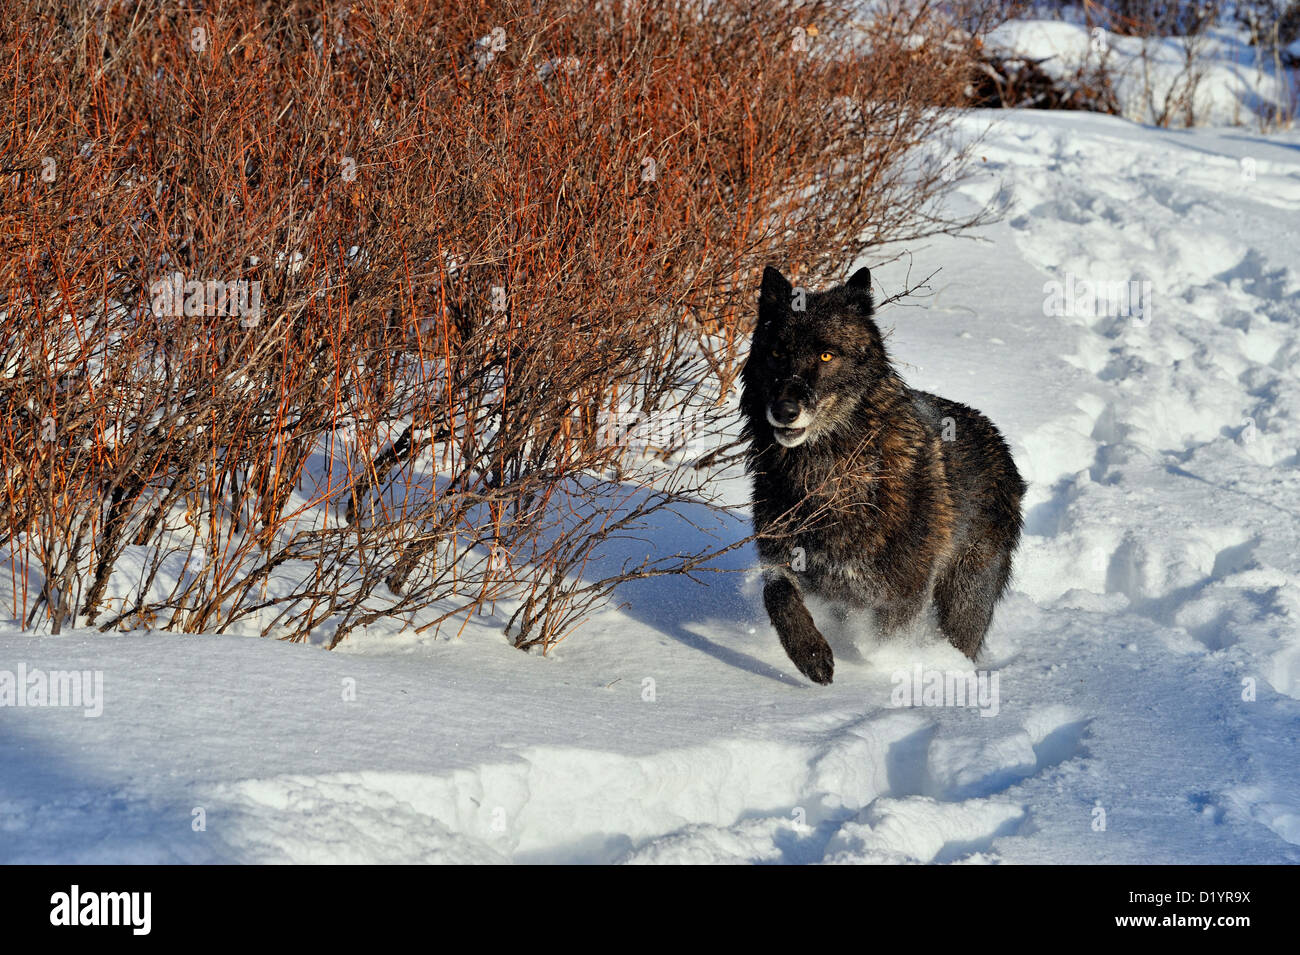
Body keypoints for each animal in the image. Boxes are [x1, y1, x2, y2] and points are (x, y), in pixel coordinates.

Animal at [740, 266, 1026, 684]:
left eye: (826, 354)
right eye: (776, 353)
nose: (785, 410)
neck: (828, 472)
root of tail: (1001, 444)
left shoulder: (901, 594)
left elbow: (888, 640)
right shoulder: (784, 559)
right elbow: (777, 595)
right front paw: (811, 655)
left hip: (964, 597)